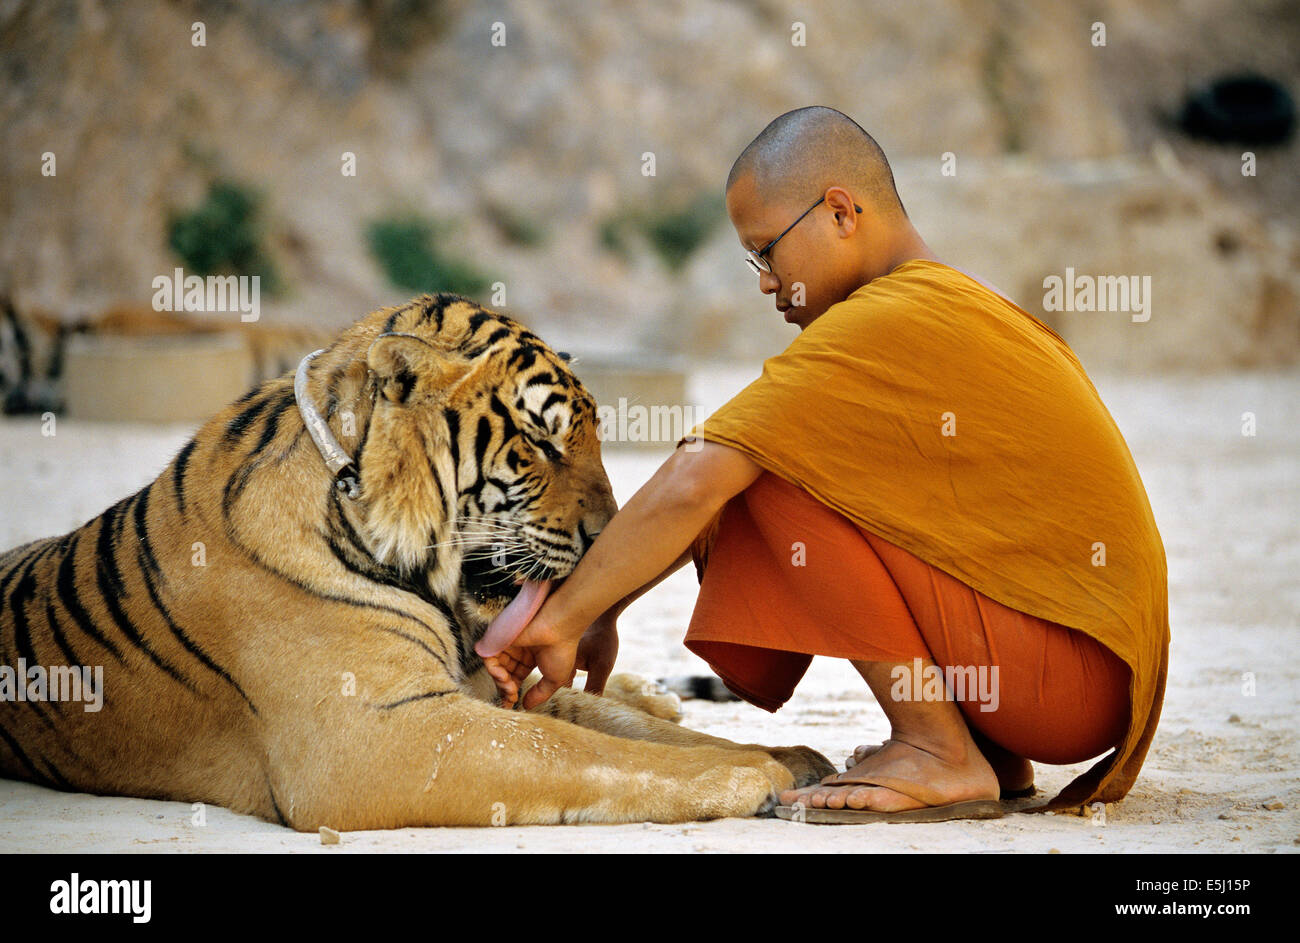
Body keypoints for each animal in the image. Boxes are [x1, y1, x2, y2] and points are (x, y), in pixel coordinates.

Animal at [0, 292, 833, 829]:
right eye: (540, 443)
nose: (609, 535)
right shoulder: (381, 733)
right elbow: (582, 748)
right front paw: (751, 775)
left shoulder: (480, 693)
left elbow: (633, 730)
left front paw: (786, 755)